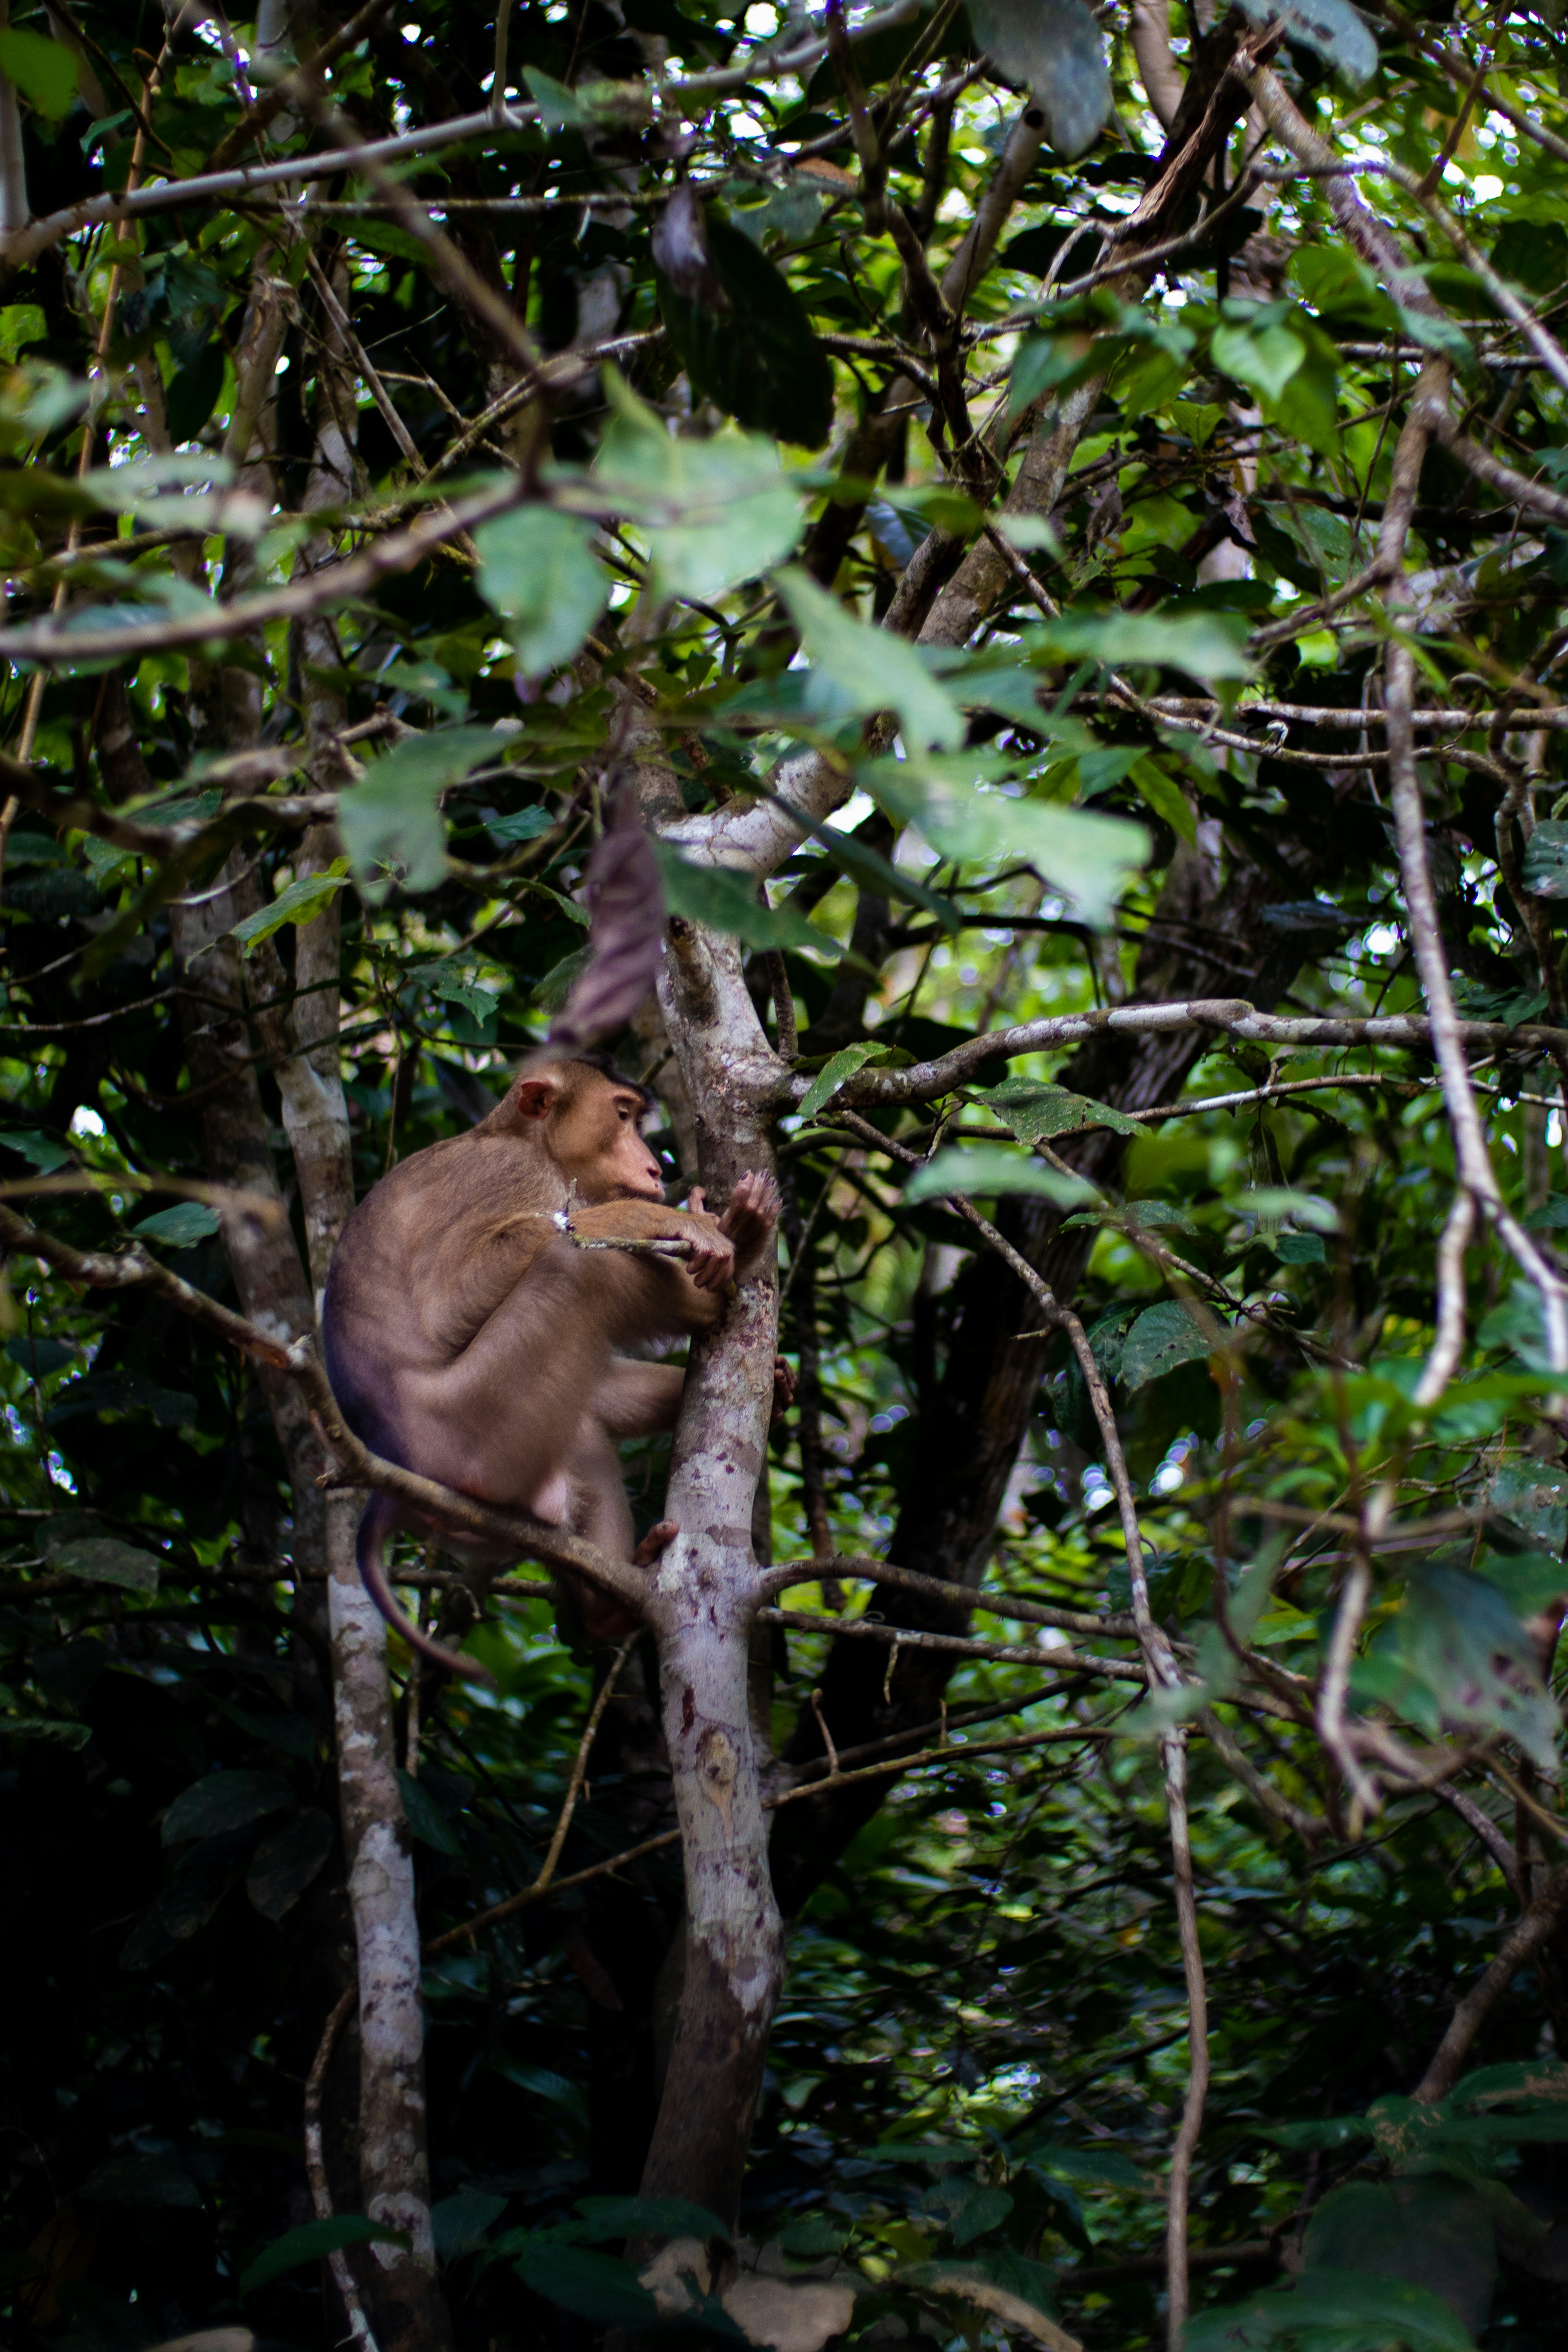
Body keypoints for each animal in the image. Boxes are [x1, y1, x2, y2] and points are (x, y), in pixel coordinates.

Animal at [321, 1054, 783, 1676]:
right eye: (621, 1115)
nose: (654, 1168)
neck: (522, 1139)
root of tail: (392, 1462)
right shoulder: (508, 1175)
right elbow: (450, 1302)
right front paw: (663, 1218)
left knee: (582, 1428)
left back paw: (603, 1610)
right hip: (467, 1431)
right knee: (575, 1268)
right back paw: (721, 1269)